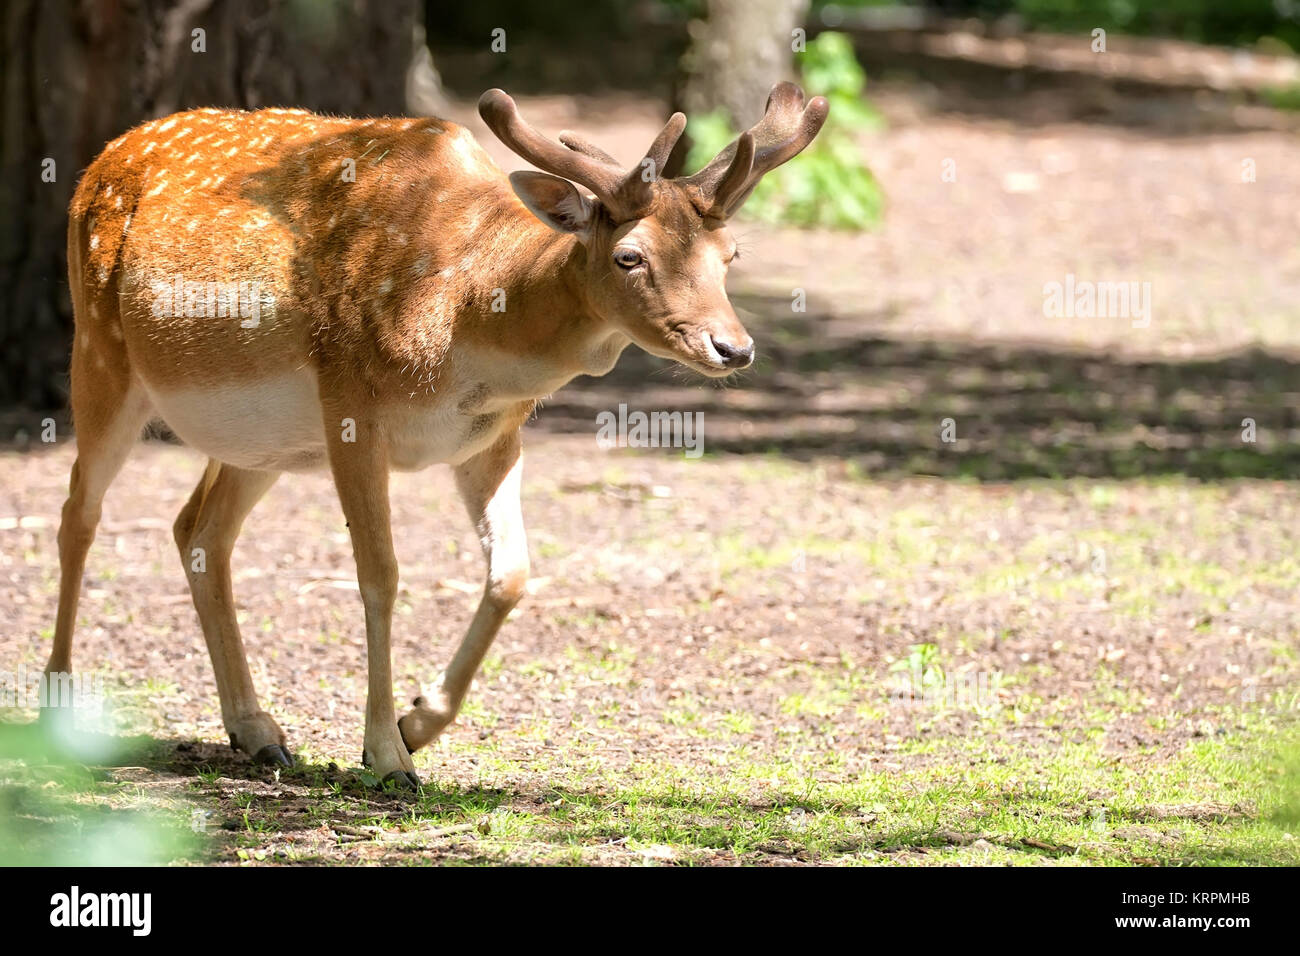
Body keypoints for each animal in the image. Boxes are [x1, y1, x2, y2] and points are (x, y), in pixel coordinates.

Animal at [45, 83, 828, 787]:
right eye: (629, 256)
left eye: (731, 255)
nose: (734, 348)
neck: (466, 319)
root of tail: (100, 160)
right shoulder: (351, 405)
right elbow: (381, 575)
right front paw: (387, 756)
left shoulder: (490, 437)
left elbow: (513, 573)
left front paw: (417, 722)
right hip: (101, 350)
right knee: (79, 511)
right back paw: (59, 705)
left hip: (265, 441)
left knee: (197, 529)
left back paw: (257, 731)